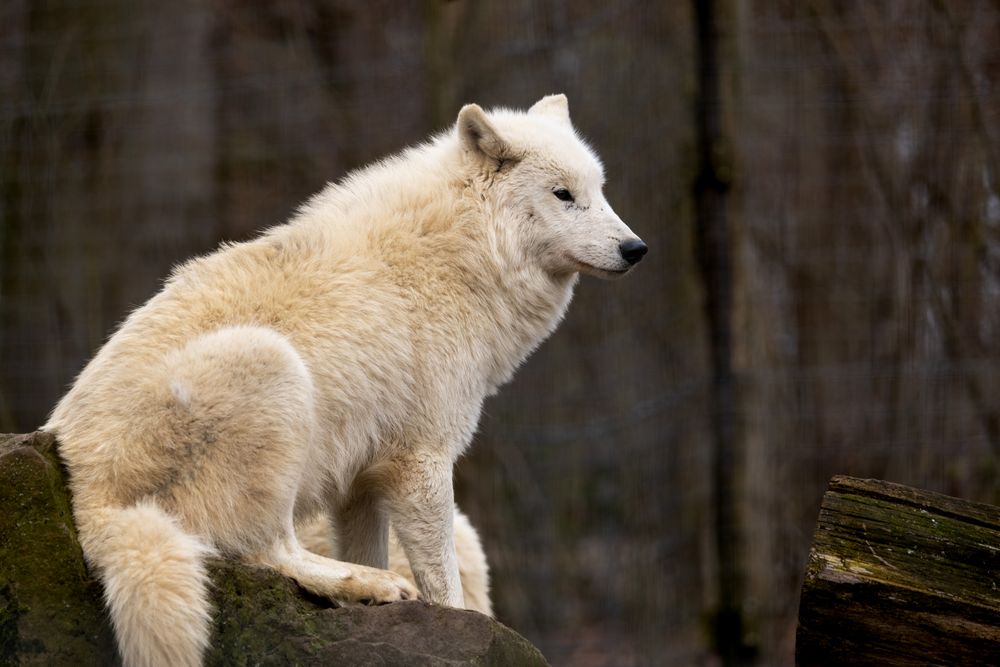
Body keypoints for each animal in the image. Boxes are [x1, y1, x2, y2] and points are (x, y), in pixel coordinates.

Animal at [45, 94, 647, 666]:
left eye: (599, 191)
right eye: (562, 194)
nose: (636, 249)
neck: (467, 251)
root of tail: (87, 496)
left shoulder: (362, 481)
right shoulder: (421, 459)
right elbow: (445, 582)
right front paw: (455, 621)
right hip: (272, 367)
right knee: (260, 549)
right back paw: (366, 585)